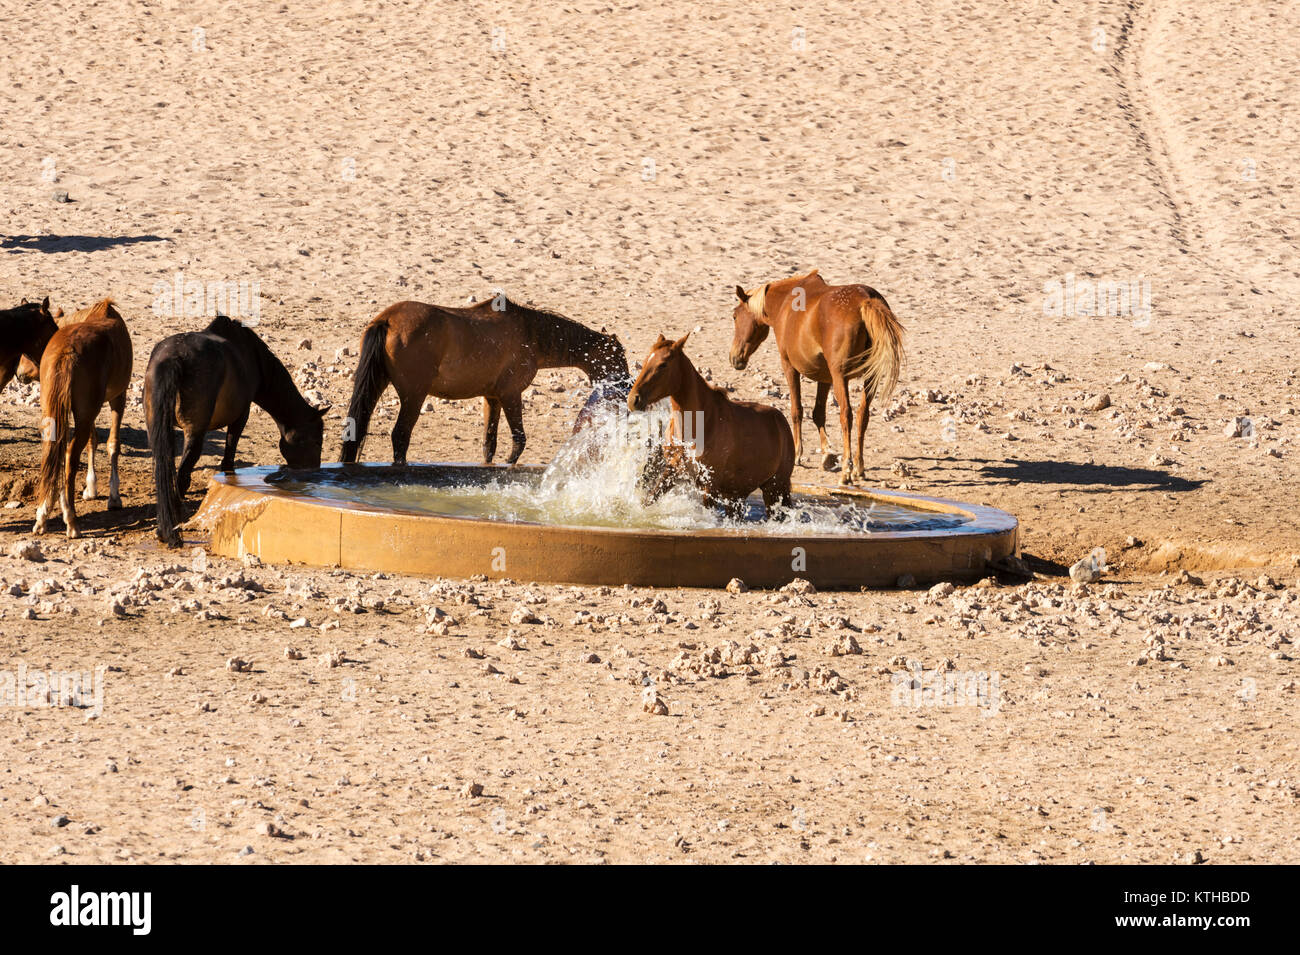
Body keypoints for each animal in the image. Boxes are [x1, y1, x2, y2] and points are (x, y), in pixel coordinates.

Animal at [33, 298, 133, 538]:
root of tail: (67, 351)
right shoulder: (118, 397)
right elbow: (112, 444)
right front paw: (113, 497)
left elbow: (93, 441)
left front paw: (90, 488)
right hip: (87, 413)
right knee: (70, 454)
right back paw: (71, 519)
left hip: (57, 412)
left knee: (52, 451)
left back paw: (42, 515)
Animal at [145, 314, 325, 547]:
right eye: (316, 440)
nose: (314, 470)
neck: (251, 356)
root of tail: (174, 358)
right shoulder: (241, 415)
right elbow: (229, 453)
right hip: (195, 433)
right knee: (183, 475)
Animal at [340, 296, 629, 466]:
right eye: (618, 358)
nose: (626, 388)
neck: (532, 334)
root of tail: (387, 319)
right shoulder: (511, 394)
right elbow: (519, 440)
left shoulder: (492, 398)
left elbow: (489, 444)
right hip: (414, 396)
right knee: (400, 435)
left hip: (378, 385)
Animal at [628, 333, 794, 515]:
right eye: (645, 361)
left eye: (663, 364)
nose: (633, 400)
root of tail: (782, 422)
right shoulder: (672, 471)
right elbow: (649, 499)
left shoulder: (709, 485)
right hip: (736, 496)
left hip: (775, 489)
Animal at [729, 269, 904, 485]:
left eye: (735, 316)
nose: (735, 358)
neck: (784, 304)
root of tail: (865, 299)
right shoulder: (825, 377)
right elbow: (818, 413)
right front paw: (827, 454)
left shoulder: (789, 367)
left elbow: (797, 410)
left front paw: (797, 453)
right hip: (869, 378)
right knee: (863, 415)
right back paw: (859, 467)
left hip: (840, 377)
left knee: (846, 415)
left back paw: (847, 470)